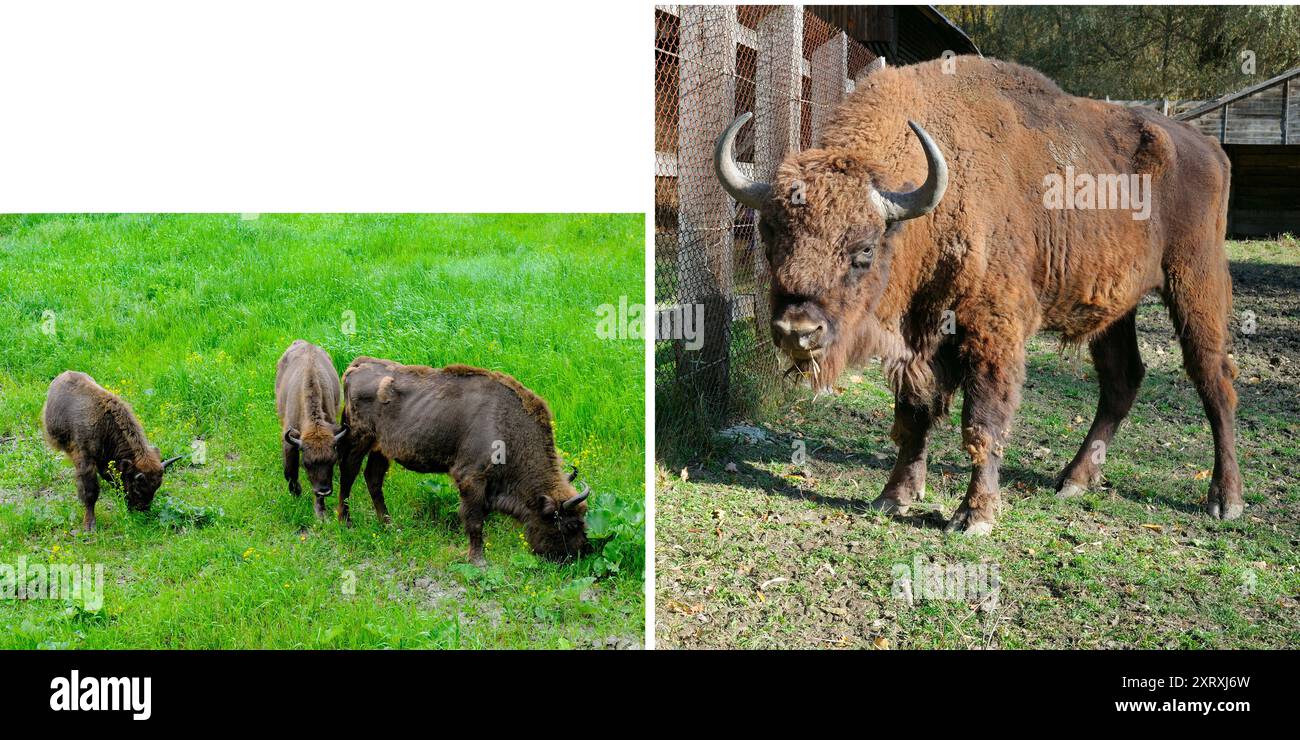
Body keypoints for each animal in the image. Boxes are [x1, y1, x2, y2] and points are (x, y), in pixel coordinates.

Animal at [42, 371, 184, 531]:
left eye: (156, 488)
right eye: (137, 487)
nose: (142, 510)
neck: (105, 423)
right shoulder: (86, 461)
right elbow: (90, 492)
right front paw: (89, 525)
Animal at [274, 340, 347, 518]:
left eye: (333, 460)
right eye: (306, 463)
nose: (324, 491)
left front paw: (321, 513)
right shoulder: (290, 443)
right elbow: (290, 472)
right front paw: (296, 494)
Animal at [339, 357, 590, 565]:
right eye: (570, 524)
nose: (579, 554)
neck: (505, 424)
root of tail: (357, 364)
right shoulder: (471, 479)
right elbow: (475, 520)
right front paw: (478, 560)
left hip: (381, 449)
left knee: (373, 479)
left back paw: (389, 525)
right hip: (359, 439)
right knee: (348, 474)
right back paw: (346, 522)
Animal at [714, 56, 1240, 534]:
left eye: (864, 249)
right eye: (770, 237)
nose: (797, 331)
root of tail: (1208, 148)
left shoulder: (991, 332)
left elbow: (982, 420)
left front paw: (974, 516)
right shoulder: (920, 338)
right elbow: (914, 414)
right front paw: (893, 497)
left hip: (1196, 282)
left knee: (1213, 380)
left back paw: (1225, 500)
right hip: (1114, 308)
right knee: (1121, 380)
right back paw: (1073, 480)